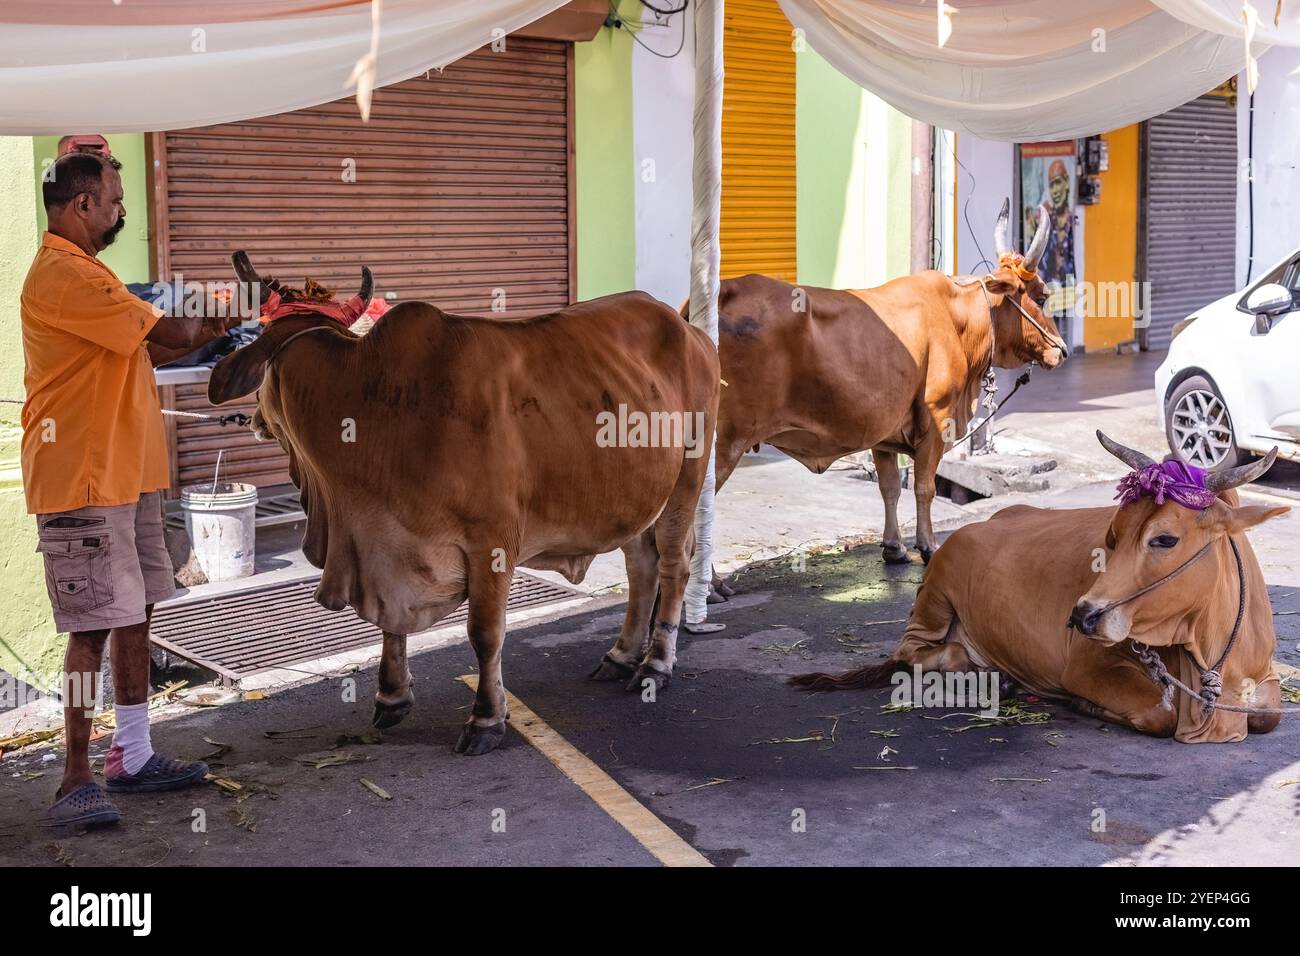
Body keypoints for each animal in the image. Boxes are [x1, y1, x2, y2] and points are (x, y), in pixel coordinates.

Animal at [208, 253, 720, 755]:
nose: (252, 419)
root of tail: (689, 330)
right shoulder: (385, 547)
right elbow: (390, 623)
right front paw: (392, 696)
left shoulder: (492, 542)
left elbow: (485, 633)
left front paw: (486, 719)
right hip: (634, 495)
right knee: (641, 566)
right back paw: (620, 655)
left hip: (687, 479)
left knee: (674, 564)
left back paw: (655, 664)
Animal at [697, 200, 1067, 574]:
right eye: (1042, 297)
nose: (1062, 350)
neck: (956, 318)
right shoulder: (937, 422)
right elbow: (924, 487)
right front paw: (928, 546)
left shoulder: (884, 434)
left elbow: (890, 488)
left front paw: (894, 548)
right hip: (724, 441)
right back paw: (710, 581)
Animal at [792, 432, 1289, 744]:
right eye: (1113, 534)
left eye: (1165, 539)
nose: (1082, 615)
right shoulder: (1086, 668)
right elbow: (1160, 713)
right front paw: (1089, 707)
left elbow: (1270, 714)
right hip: (936, 593)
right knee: (912, 652)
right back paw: (991, 676)